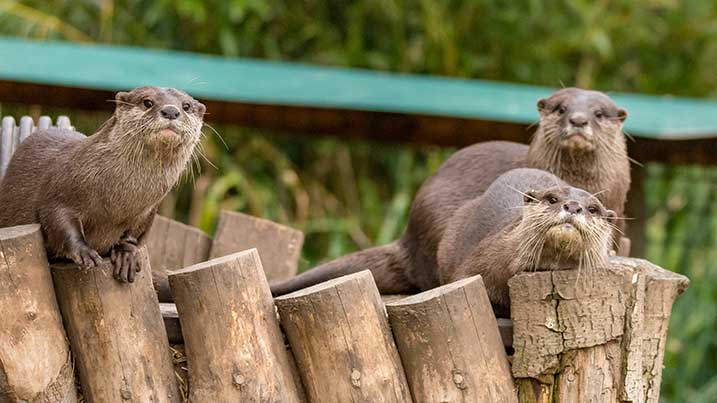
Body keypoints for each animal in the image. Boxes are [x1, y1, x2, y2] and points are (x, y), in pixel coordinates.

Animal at [0, 86, 205, 283]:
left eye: (186, 106)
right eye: (147, 102)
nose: (171, 111)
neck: (118, 203)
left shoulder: (148, 212)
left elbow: (134, 235)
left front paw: (126, 254)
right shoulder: (59, 189)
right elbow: (56, 218)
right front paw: (84, 252)